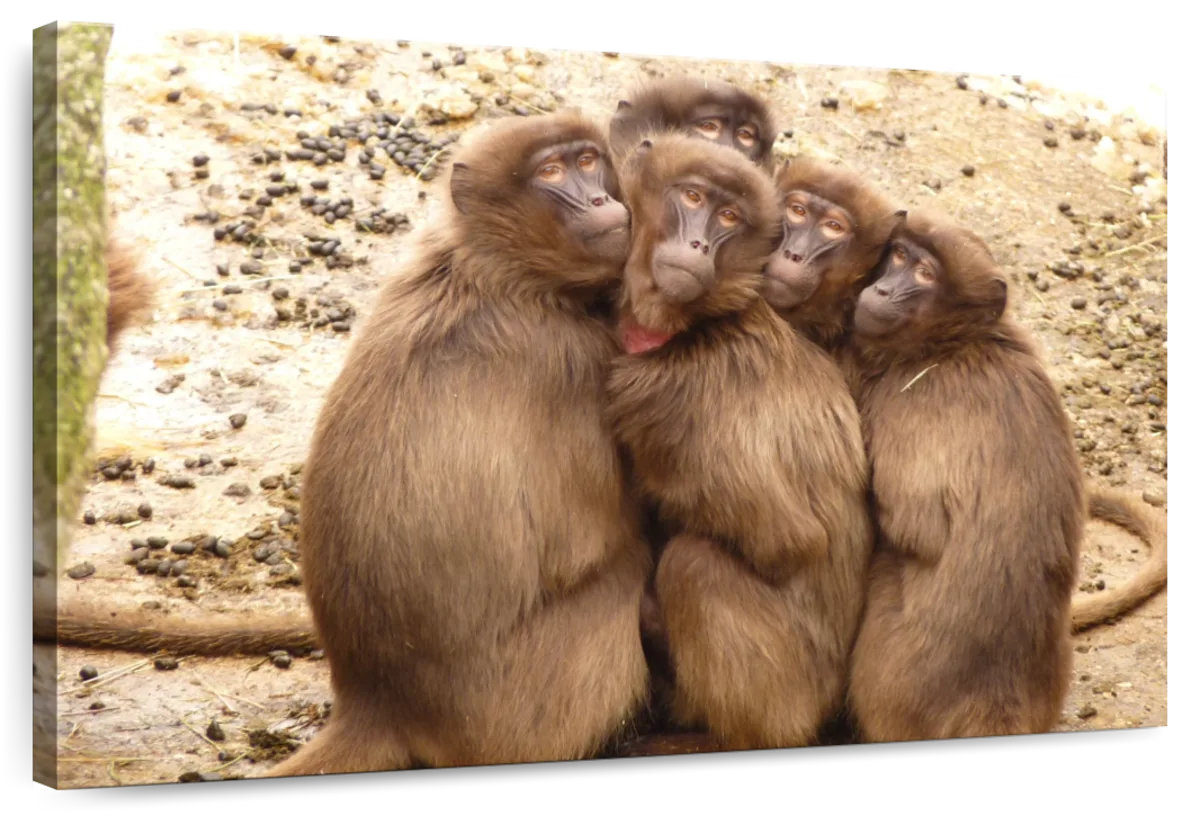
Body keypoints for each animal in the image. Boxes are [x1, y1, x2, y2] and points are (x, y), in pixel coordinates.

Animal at [261, 111, 651, 777]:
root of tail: (376, 700)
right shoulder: (572, 359)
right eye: (552, 172)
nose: (601, 200)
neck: (496, 273)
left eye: (588, 161)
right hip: (517, 714)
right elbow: (599, 539)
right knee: (631, 576)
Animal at [605, 133, 872, 750]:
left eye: (728, 217)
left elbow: (786, 542)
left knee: (694, 565)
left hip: (792, 693)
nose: (698, 242)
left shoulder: (678, 399)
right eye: (693, 197)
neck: (697, 325)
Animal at [847, 207, 1085, 742]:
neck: (954, 344)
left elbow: (915, 528)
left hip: (894, 678)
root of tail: (992, 701)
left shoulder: (909, 401)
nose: (883, 289)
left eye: (925, 274)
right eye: (899, 255)